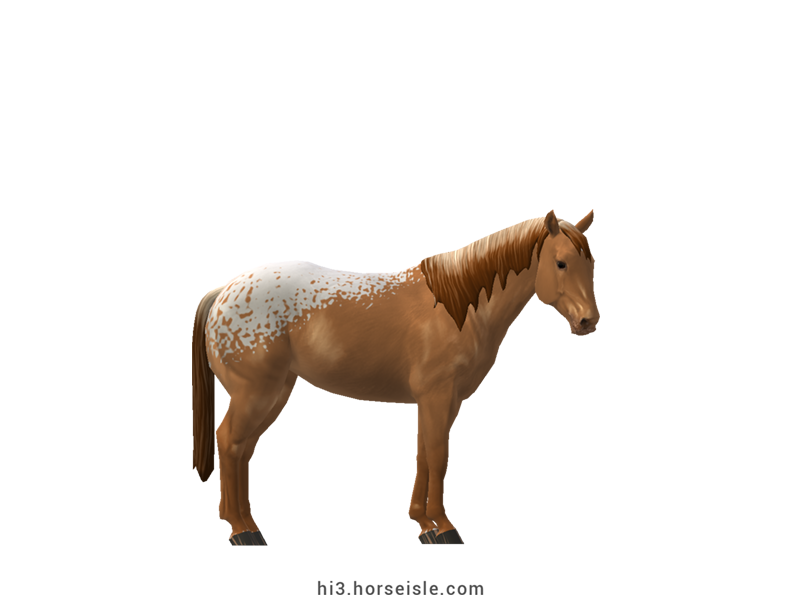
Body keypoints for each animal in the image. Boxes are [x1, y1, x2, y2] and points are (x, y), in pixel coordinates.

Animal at [192, 209, 598, 539]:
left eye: (587, 261)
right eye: (561, 263)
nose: (587, 321)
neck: (458, 308)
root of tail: (224, 293)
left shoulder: (437, 398)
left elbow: (424, 453)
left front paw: (421, 518)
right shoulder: (436, 394)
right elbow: (438, 454)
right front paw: (442, 523)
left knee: (238, 449)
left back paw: (241, 519)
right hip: (254, 393)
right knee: (228, 442)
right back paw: (239, 527)